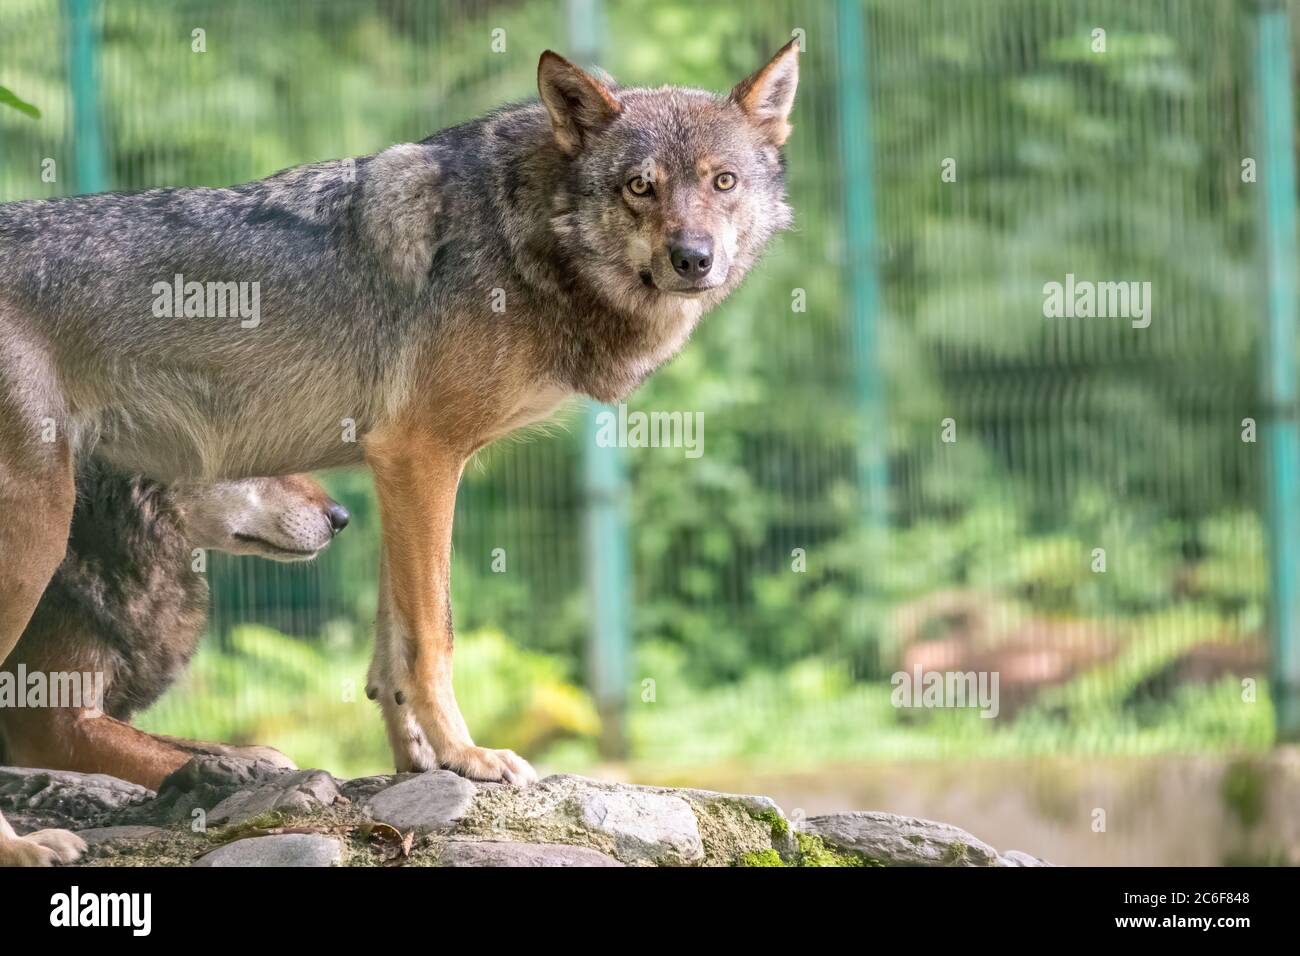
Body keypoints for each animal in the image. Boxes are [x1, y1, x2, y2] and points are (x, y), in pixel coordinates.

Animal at [0, 41, 799, 864]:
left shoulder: (392, 470)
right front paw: (468, 758)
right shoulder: (424, 457)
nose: (693, 258)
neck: (518, 232)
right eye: (641, 186)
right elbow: (434, 636)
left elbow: (393, 648)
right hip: (36, 536)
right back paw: (26, 846)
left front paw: (416, 763)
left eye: (723, 181)